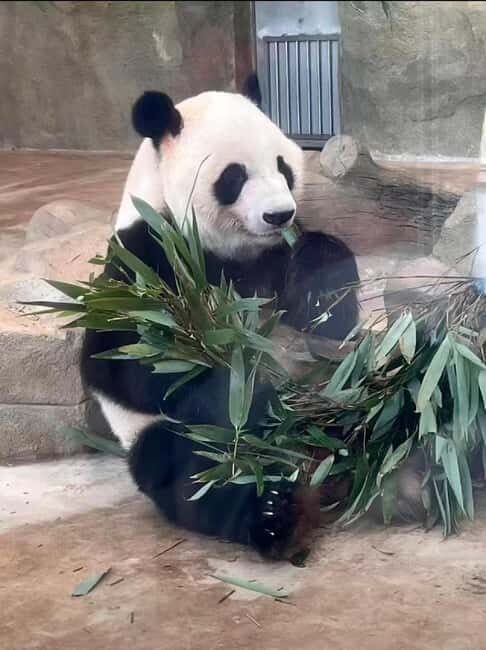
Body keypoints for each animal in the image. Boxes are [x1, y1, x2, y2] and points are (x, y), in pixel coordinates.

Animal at [81, 76, 360, 558]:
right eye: (234, 176)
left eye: (283, 167)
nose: (279, 214)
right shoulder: (146, 256)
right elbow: (118, 355)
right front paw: (247, 389)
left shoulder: (271, 257)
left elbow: (328, 315)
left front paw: (321, 273)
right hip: (176, 439)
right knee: (198, 472)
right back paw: (273, 512)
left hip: (345, 386)